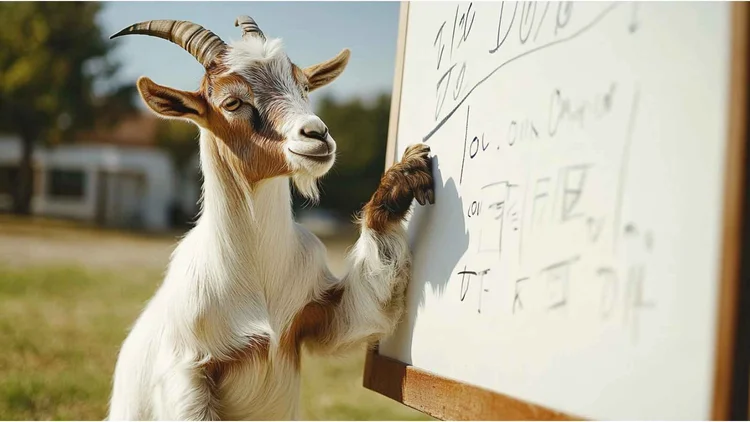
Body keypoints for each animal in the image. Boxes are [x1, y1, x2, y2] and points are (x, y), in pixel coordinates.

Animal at [106, 16, 434, 421]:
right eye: (233, 101)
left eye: (303, 85)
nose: (317, 135)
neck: (256, 273)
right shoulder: (188, 370)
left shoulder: (319, 318)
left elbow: (369, 312)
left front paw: (402, 180)